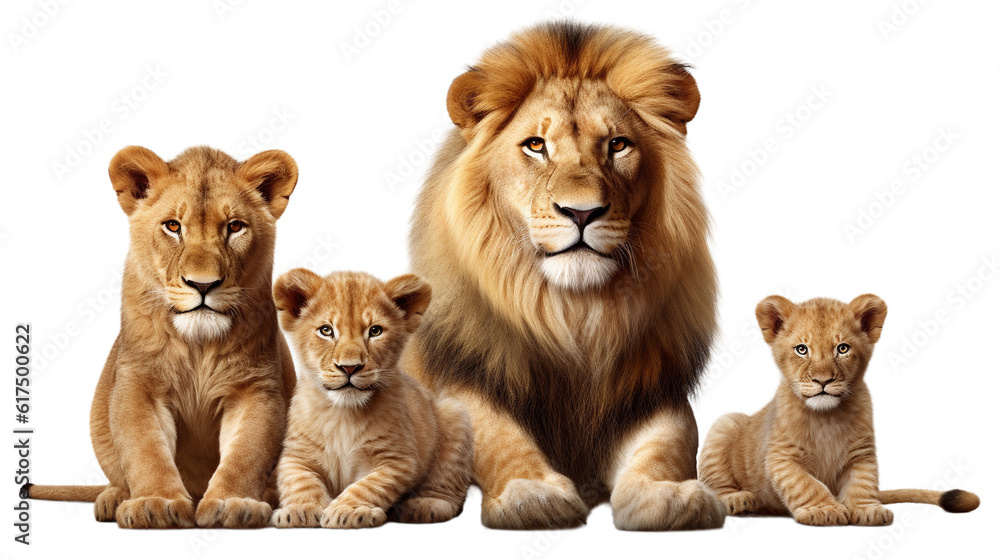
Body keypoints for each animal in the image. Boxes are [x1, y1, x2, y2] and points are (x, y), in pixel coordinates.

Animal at [24, 145, 298, 528]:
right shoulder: (138, 383)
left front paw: (232, 503)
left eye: (234, 227)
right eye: (173, 226)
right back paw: (112, 498)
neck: (198, 346)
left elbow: (246, 453)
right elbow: (145, 448)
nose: (203, 284)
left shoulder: (254, 388)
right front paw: (155, 503)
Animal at [402, 22, 726, 530]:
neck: (574, 313)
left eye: (617, 144)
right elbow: (498, 436)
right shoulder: (465, 383)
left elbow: (667, 445)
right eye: (536, 145)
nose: (582, 212)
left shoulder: (653, 392)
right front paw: (532, 492)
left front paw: (668, 496)